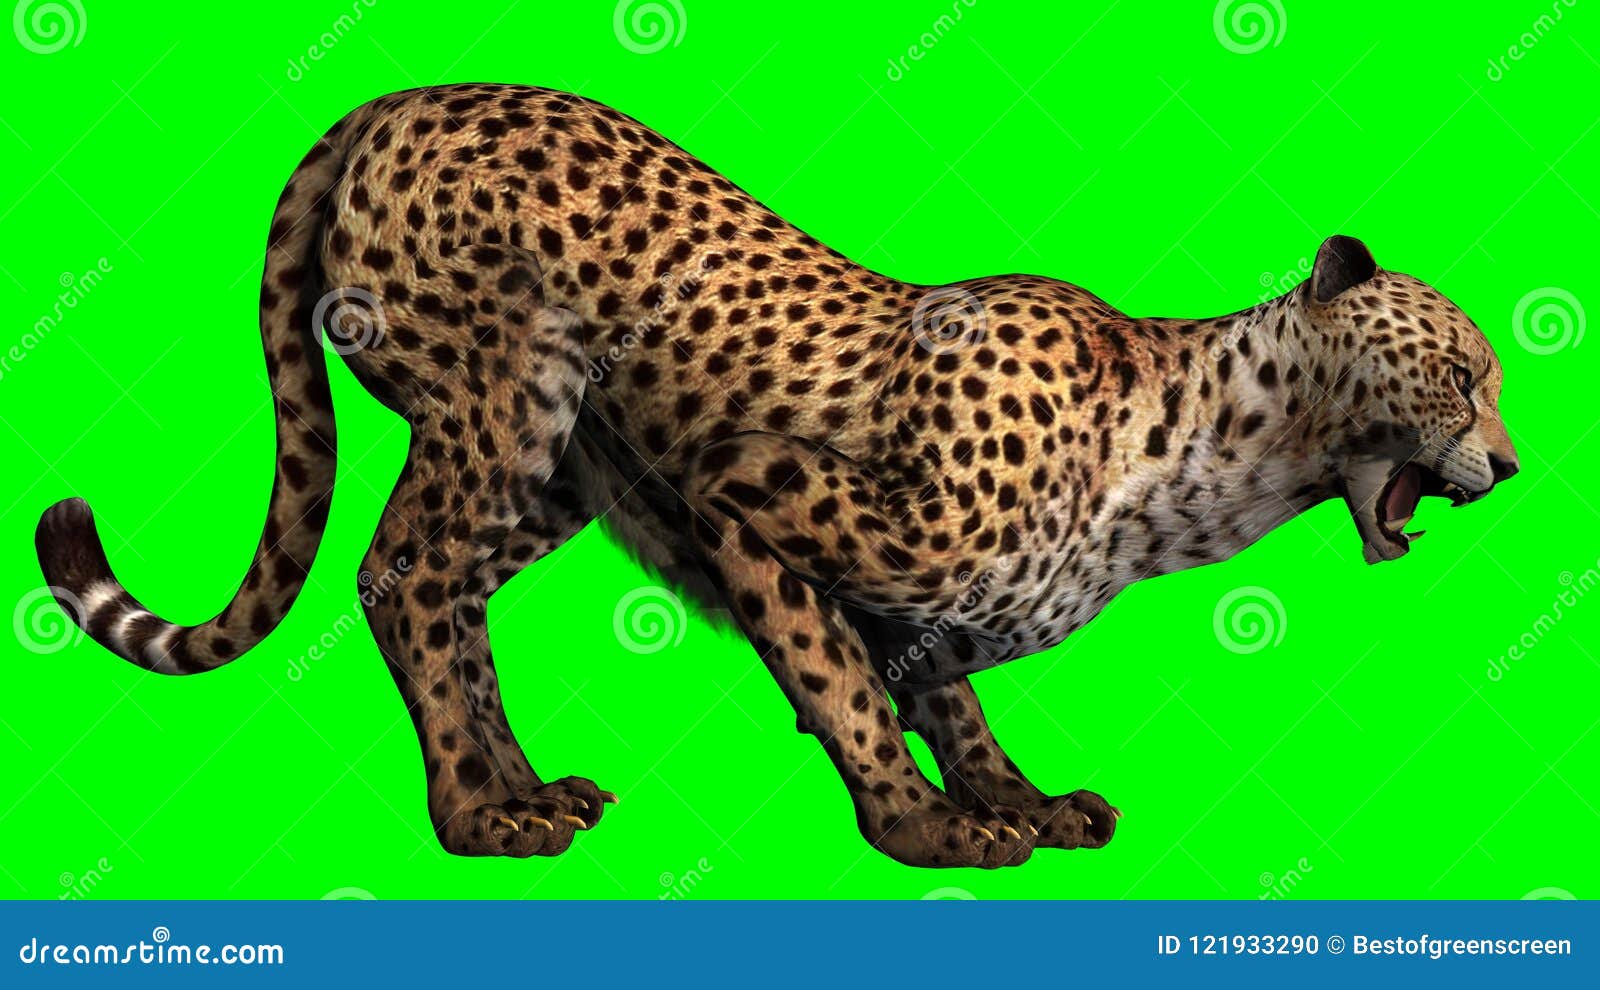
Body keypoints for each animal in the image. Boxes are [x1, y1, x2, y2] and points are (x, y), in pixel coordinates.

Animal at [35, 84, 1519, 869]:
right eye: (1459, 371)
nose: (1507, 465)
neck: (1205, 461)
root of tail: (405, 95)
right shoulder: (748, 494)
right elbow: (847, 692)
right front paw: (928, 828)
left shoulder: (921, 604)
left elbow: (951, 700)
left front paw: (1016, 798)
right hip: (503, 400)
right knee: (400, 575)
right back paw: (481, 813)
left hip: (559, 467)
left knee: (451, 592)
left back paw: (528, 785)